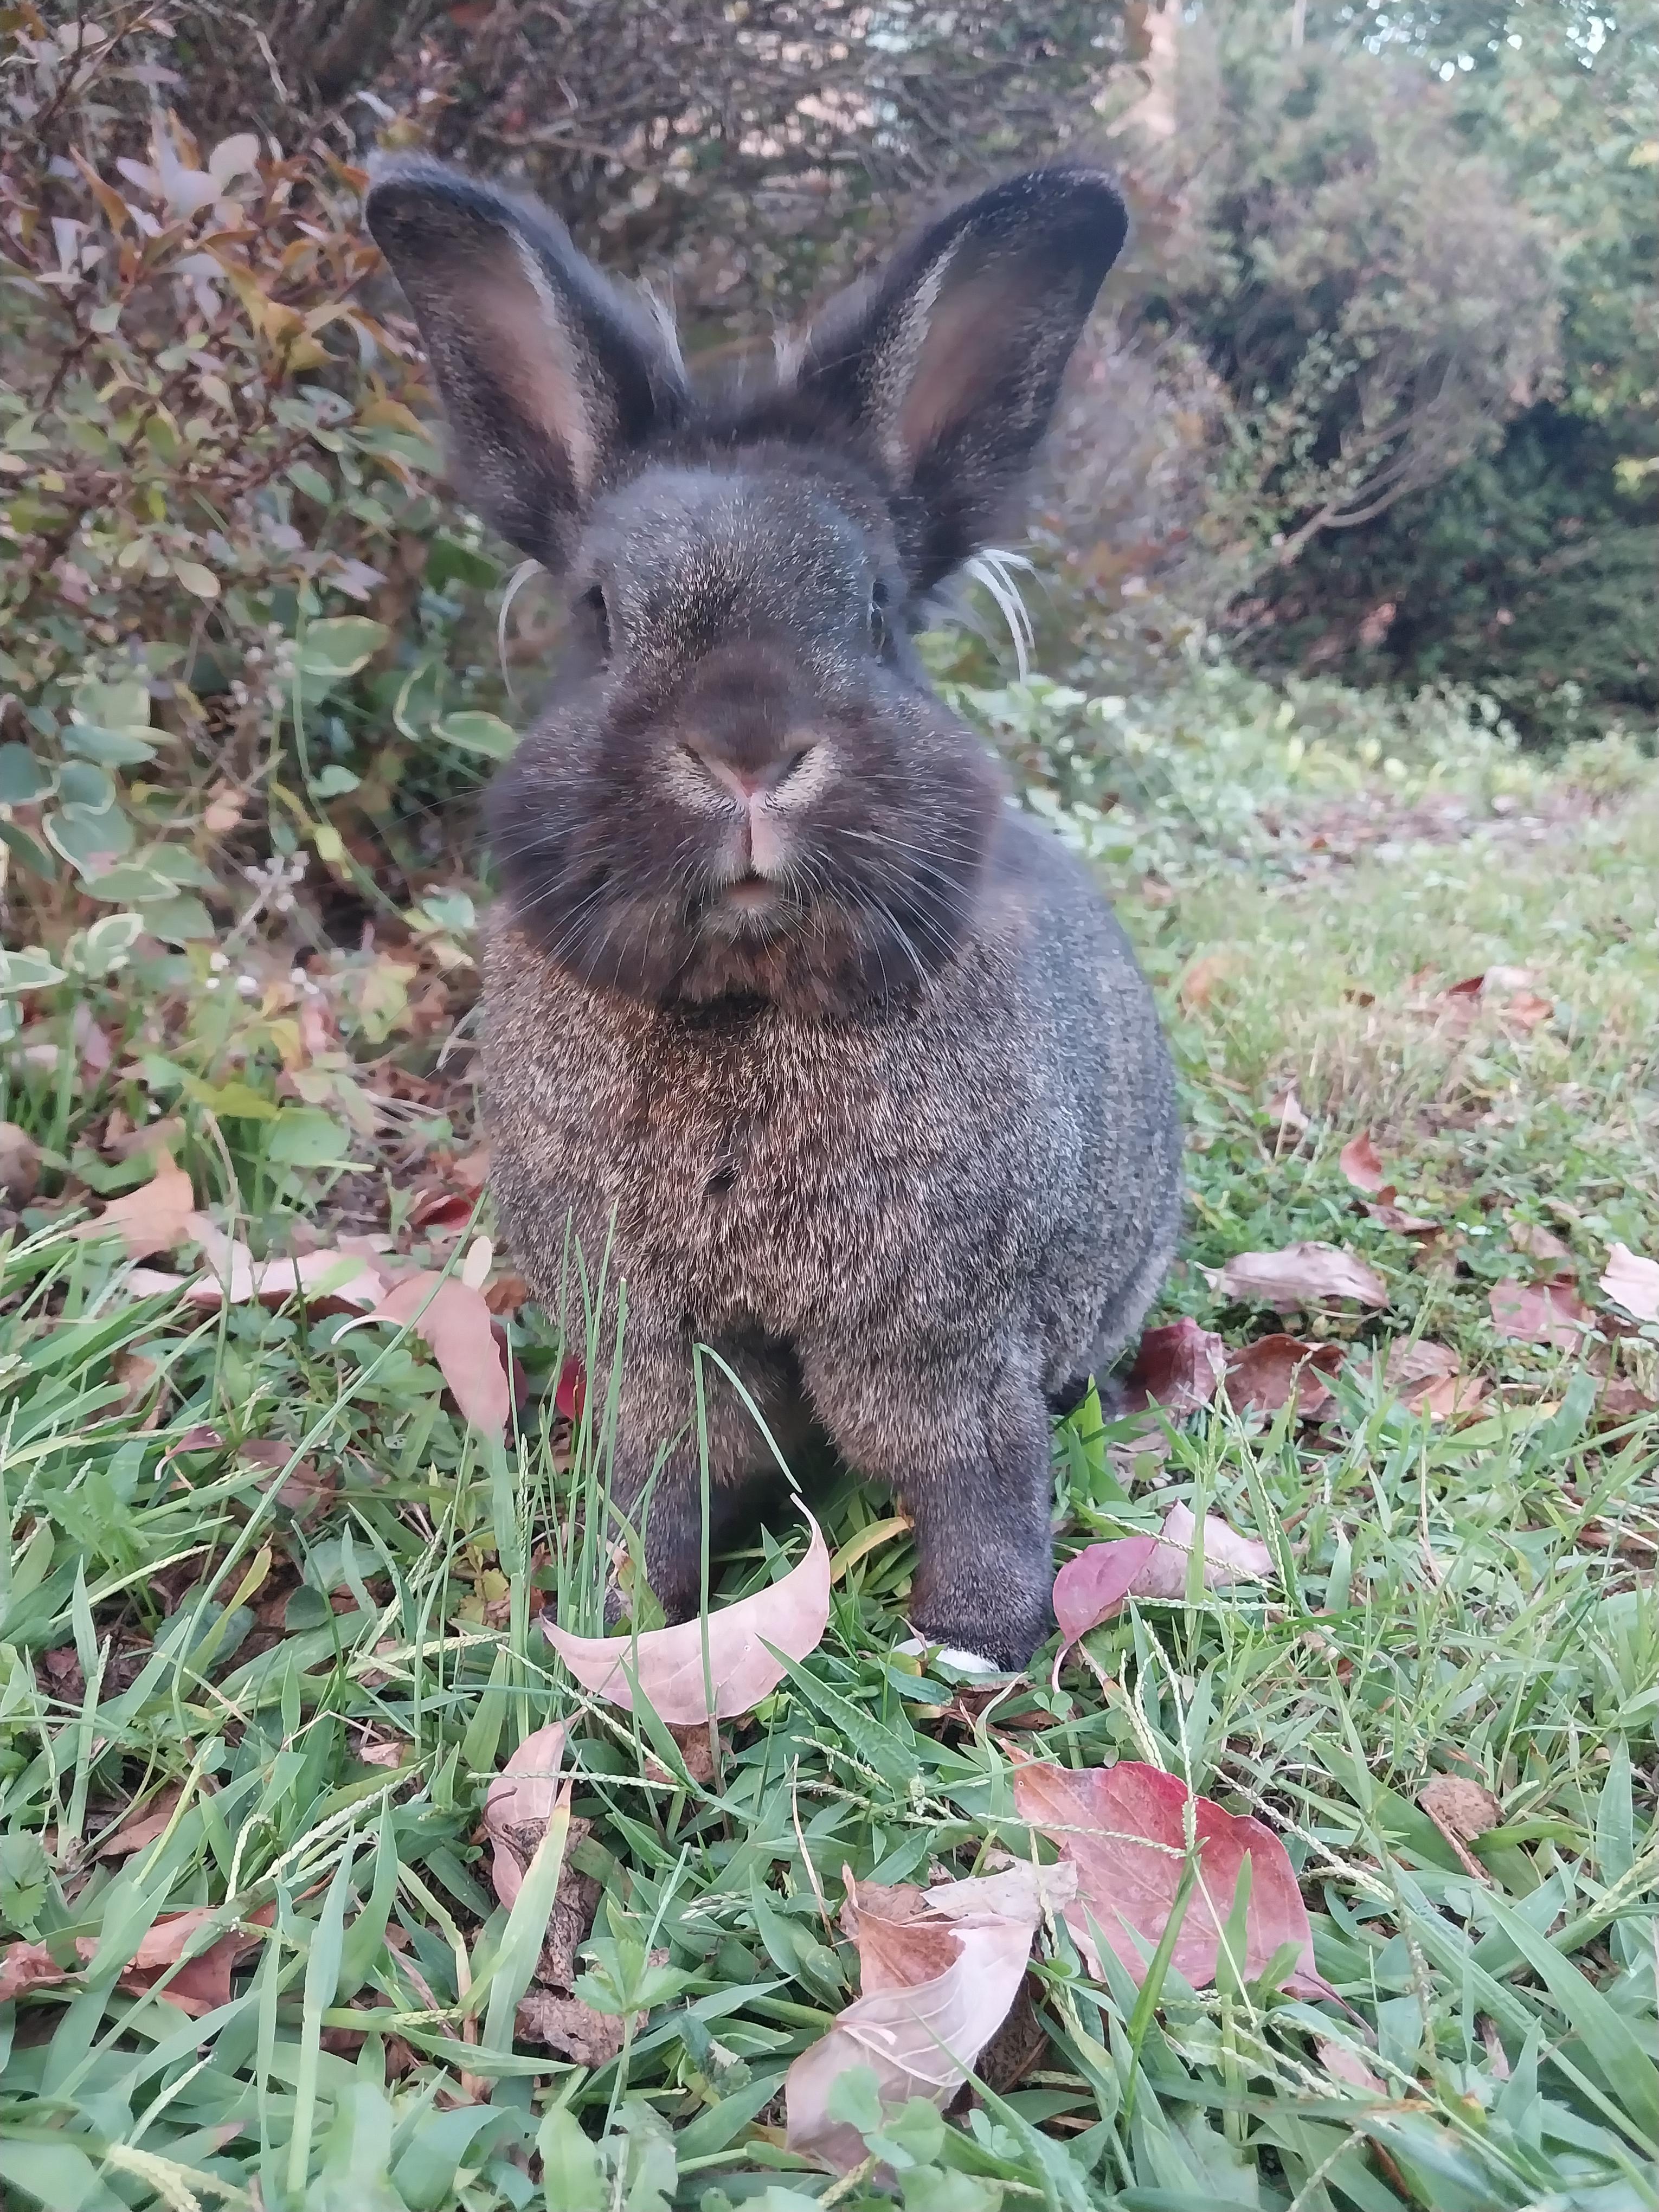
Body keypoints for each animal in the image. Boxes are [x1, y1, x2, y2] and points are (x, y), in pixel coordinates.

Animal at [366, 156, 1183, 1672]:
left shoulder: (945, 1349)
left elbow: (977, 1478)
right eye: (599, 610)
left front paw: (972, 1643)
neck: (748, 998)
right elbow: (666, 1478)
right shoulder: (661, 1354)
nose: (748, 750)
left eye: (876, 611)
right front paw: (622, 1616)